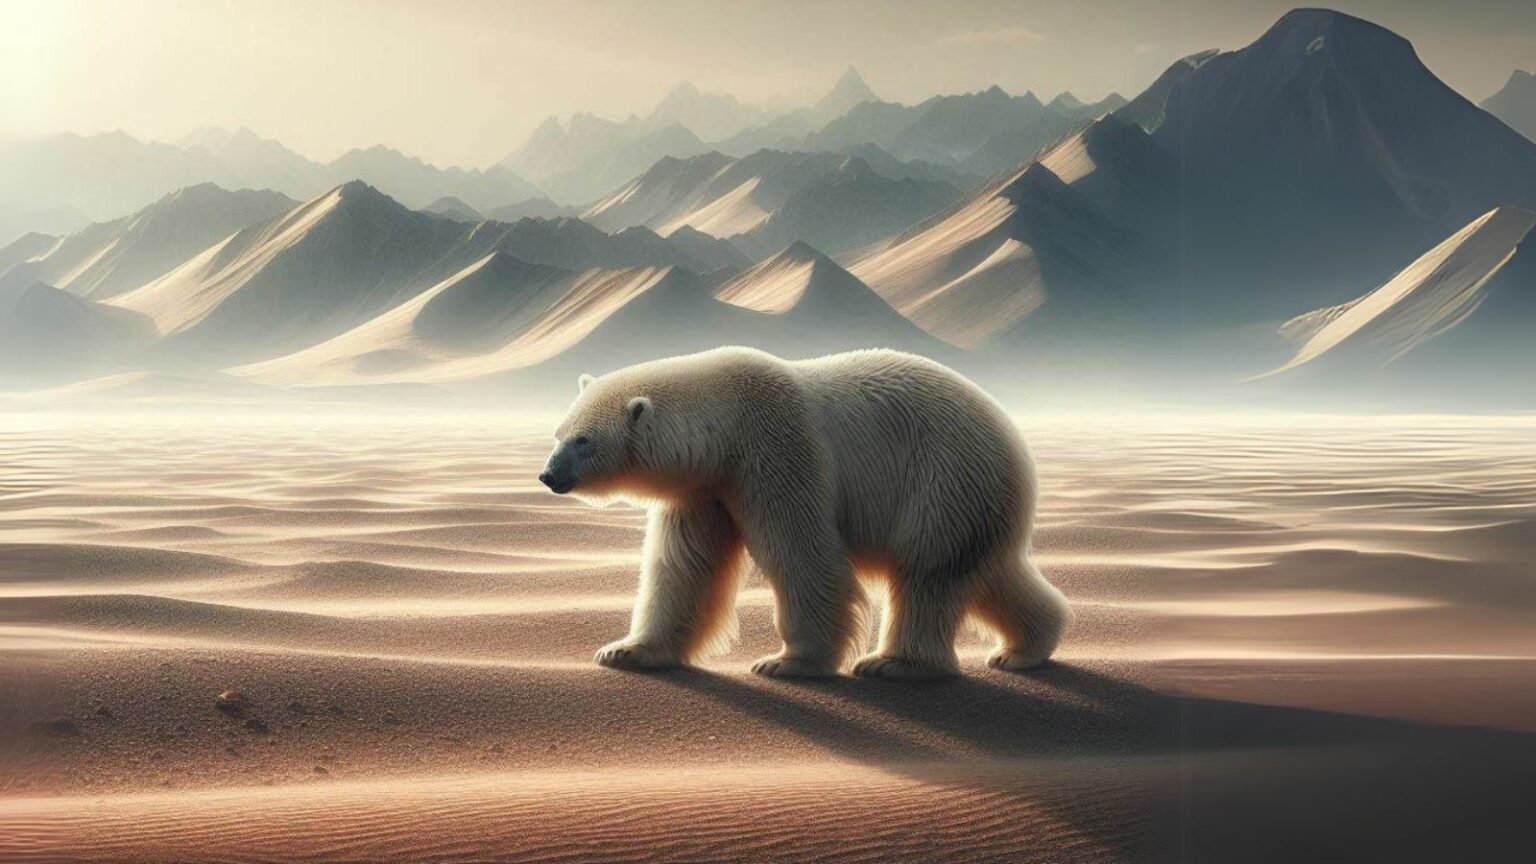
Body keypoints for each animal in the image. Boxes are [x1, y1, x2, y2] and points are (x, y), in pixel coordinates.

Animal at [538, 347, 1072, 680]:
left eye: (582, 440)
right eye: (558, 432)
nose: (547, 475)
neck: (725, 423)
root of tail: (1017, 445)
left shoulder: (778, 450)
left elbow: (802, 555)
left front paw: (786, 662)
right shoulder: (707, 487)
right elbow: (684, 565)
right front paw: (626, 650)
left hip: (944, 479)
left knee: (927, 572)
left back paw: (893, 664)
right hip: (975, 499)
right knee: (990, 574)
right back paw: (1023, 649)